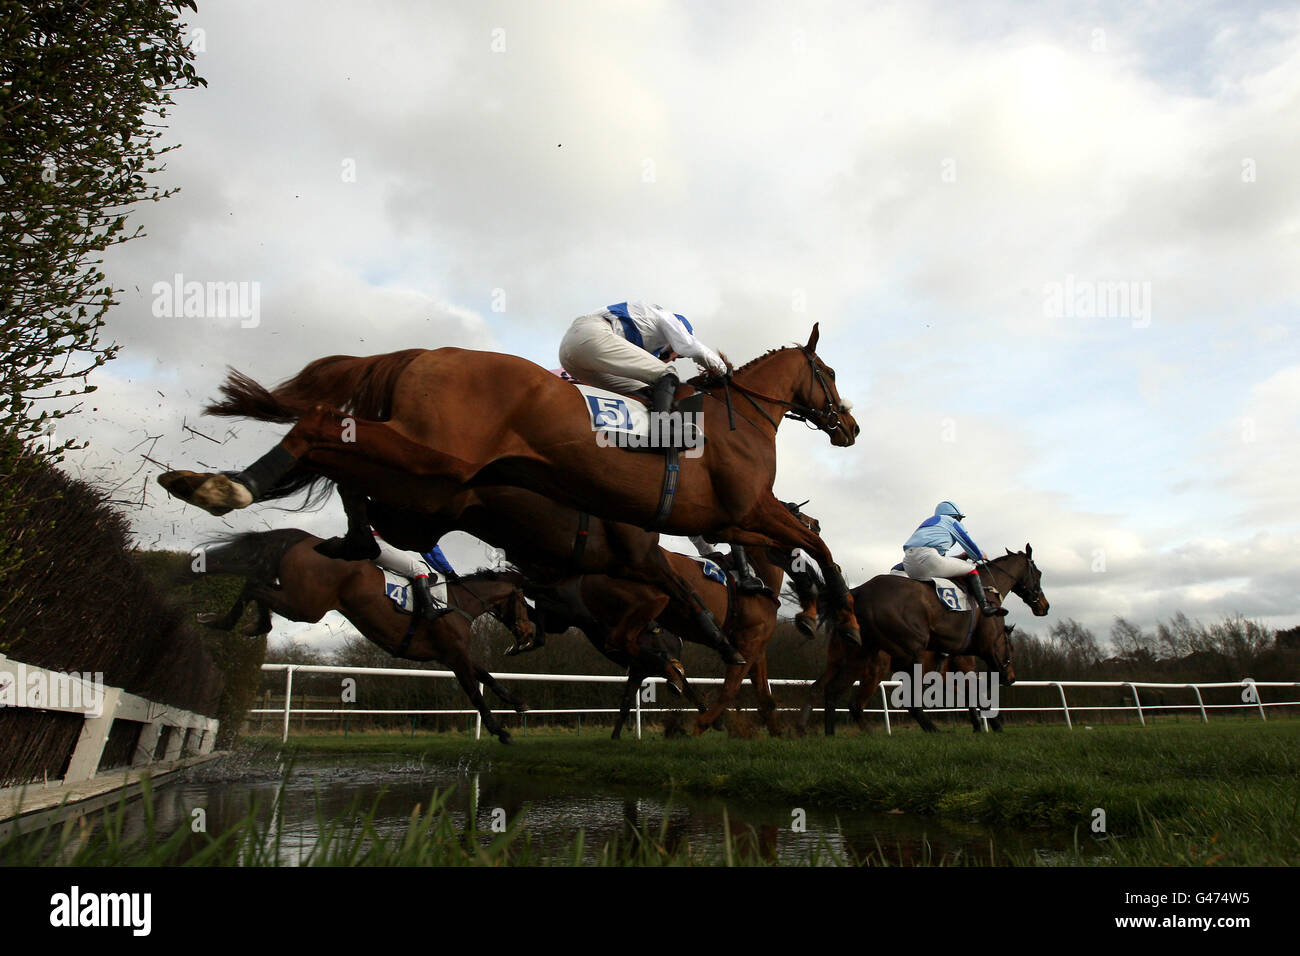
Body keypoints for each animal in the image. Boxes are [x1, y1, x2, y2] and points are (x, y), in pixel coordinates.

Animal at [156, 325, 865, 641]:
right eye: (828, 372)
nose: (850, 426)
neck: (738, 416)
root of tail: (420, 354)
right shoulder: (740, 508)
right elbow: (816, 541)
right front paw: (843, 616)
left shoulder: (729, 518)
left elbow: (801, 540)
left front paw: (805, 605)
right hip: (435, 457)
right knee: (323, 426)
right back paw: (225, 488)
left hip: (427, 481)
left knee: (346, 463)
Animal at [193, 529, 531, 743]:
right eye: (525, 603)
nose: (528, 632)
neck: (461, 604)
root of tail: (306, 539)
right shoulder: (454, 653)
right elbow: (475, 690)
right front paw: (500, 730)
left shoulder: (451, 654)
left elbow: (487, 676)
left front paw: (517, 703)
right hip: (306, 605)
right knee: (254, 585)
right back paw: (237, 622)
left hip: (298, 596)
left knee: (258, 583)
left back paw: (237, 623)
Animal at [801, 546, 1048, 736]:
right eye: (1038, 573)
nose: (1044, 606)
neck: (988, 590)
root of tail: (857, 592)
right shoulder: (982, 652)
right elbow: (979, 690)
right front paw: (993, 725)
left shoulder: (950, 674)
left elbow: (971, 695)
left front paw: (980, 726)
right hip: (899, 658)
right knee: (894, 701)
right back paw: (931, 731)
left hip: (854, 657)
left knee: (829, 691)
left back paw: (827, 733)